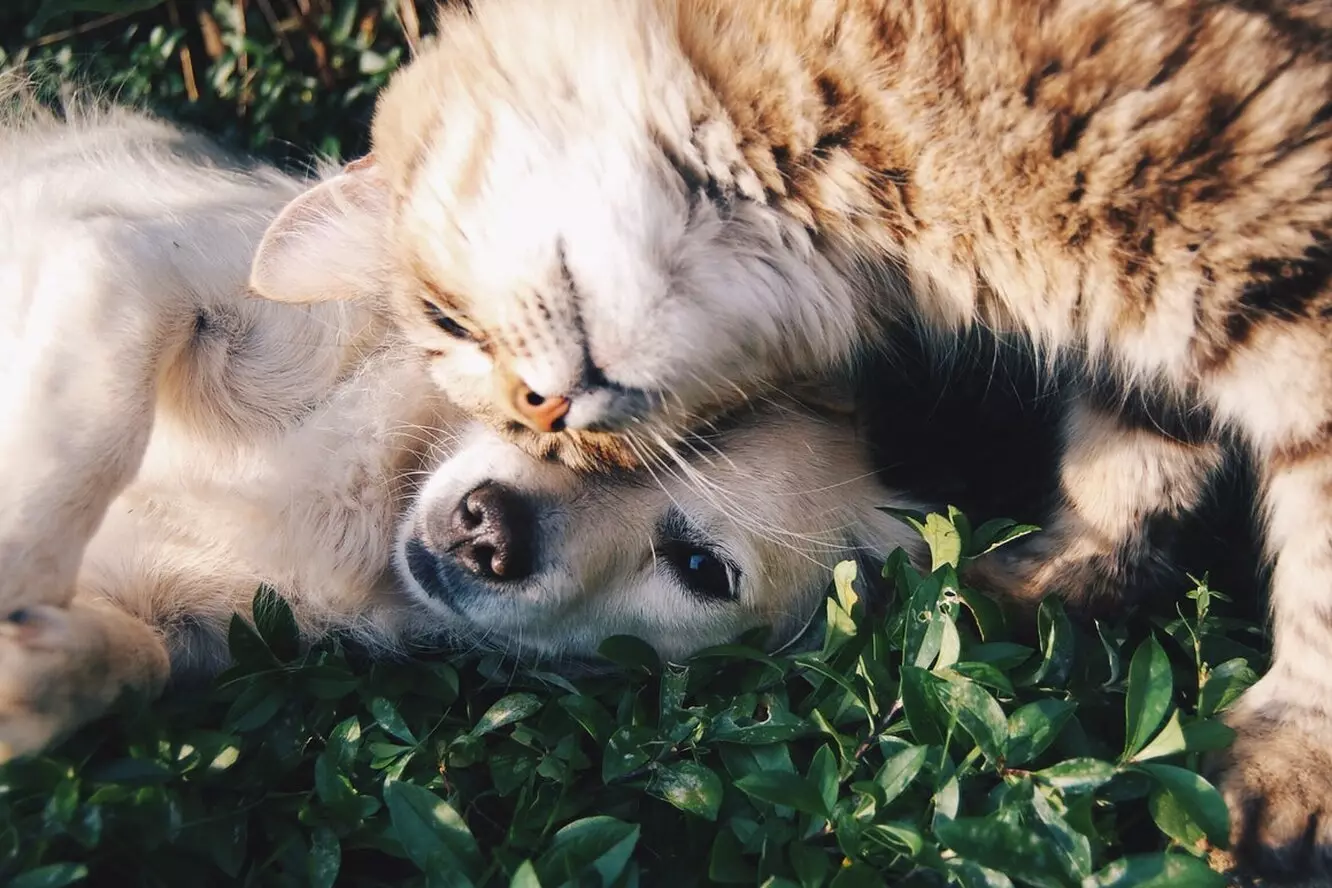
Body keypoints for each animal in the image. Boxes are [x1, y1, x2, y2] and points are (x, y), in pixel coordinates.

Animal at [0, 85, 921, 756]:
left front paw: (34, 673)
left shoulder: (188, 623)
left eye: (700, 569)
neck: (376, 491)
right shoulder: (130, 263)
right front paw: (19, 568)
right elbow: (87, 438)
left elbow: (138, 660)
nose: (490, 531)